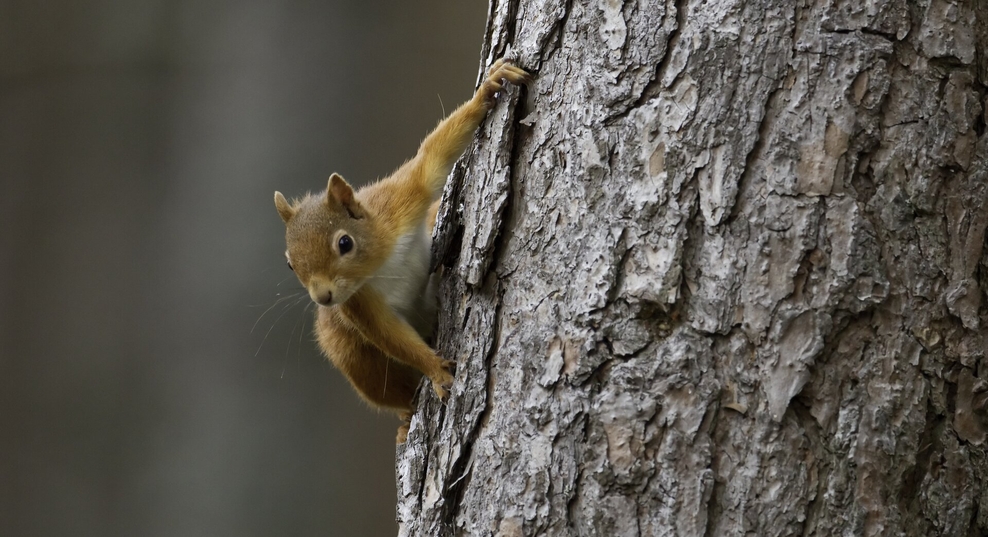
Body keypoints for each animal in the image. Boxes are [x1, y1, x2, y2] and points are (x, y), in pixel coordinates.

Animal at [273, 59, 531, 443]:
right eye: (290, 264)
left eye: (344, 243)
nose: (323, 298)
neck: (380, 262)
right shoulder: (358, 305)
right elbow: (390, 336)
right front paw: (436, 370)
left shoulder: (401, 199)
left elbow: (433, 158)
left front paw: (489, 88)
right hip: (353, 355)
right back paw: (406, 418)